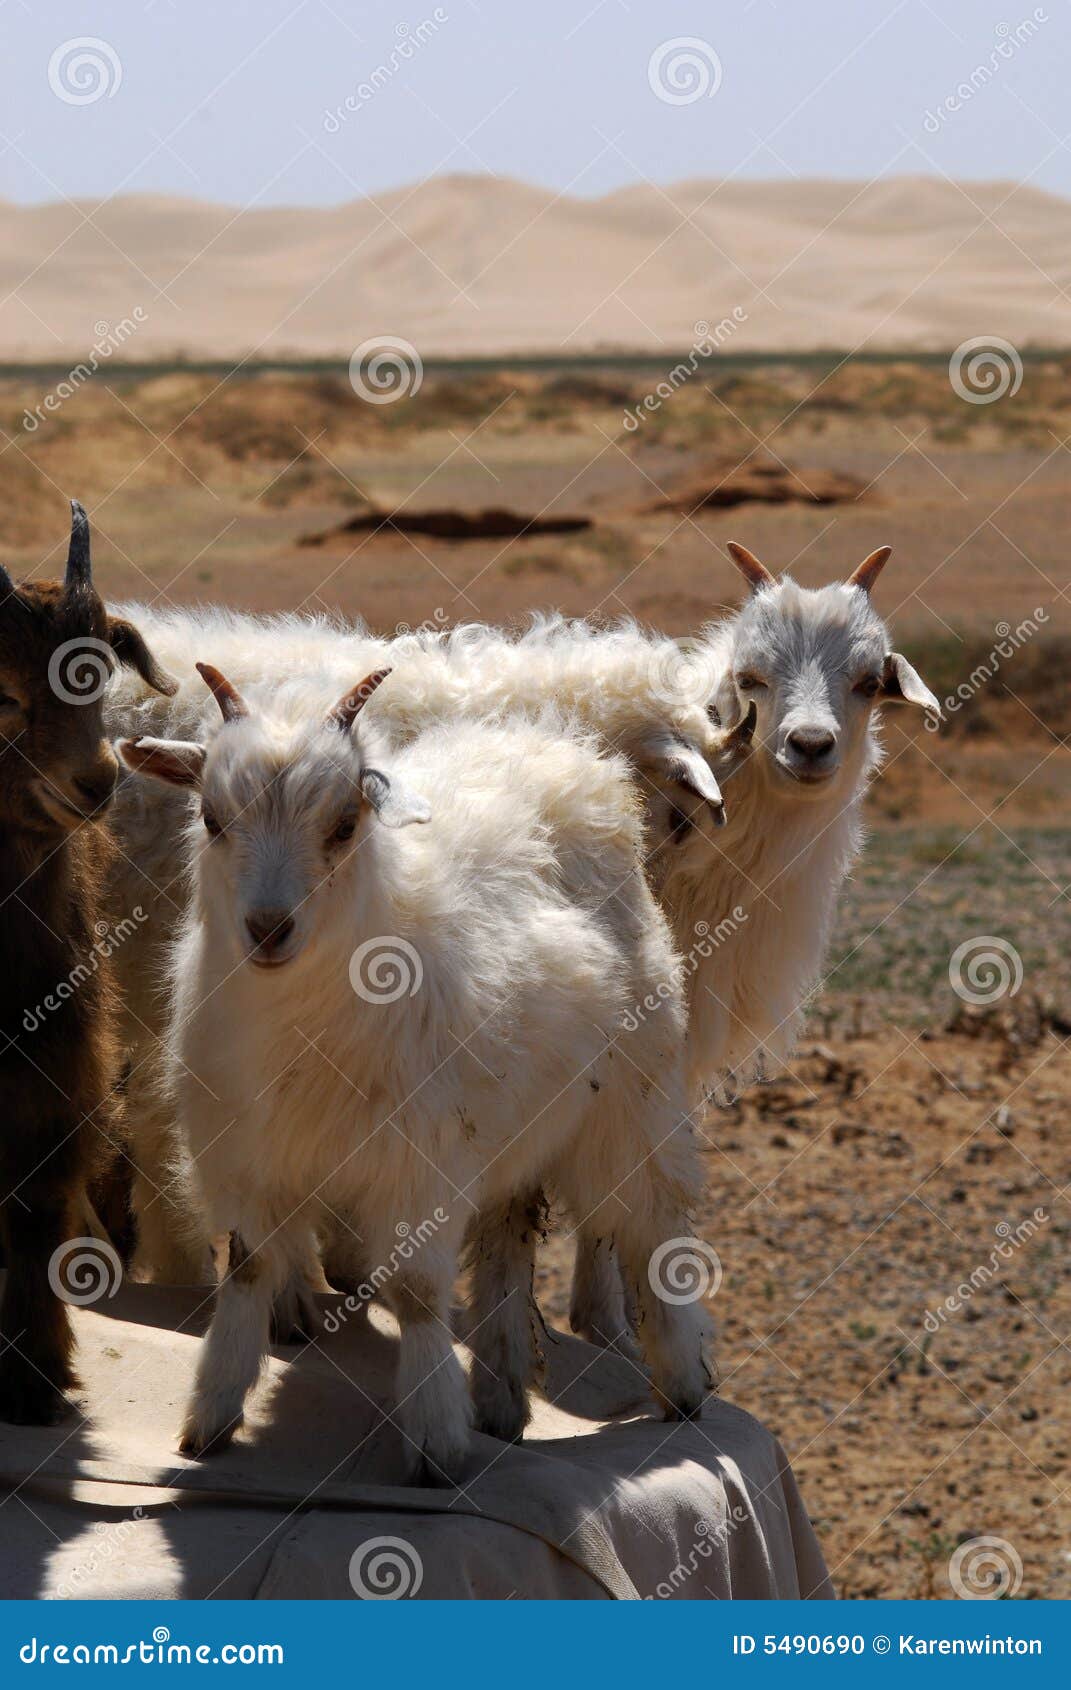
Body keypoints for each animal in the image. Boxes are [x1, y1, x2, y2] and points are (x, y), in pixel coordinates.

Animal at [119, 668, 712, 1475]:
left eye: (345, 824)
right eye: (211, 818)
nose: (269, 930)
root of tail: (565, 757)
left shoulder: (418, 1165)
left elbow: (418, 1294)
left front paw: (434, 1442)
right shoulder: (246, 1157)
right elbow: (247, 1272)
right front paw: (210, 1418)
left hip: (631, 1097)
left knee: (654, 1222)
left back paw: (681, 1388)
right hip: (514, 1120)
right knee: (507, 1235)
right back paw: (500, 1399)